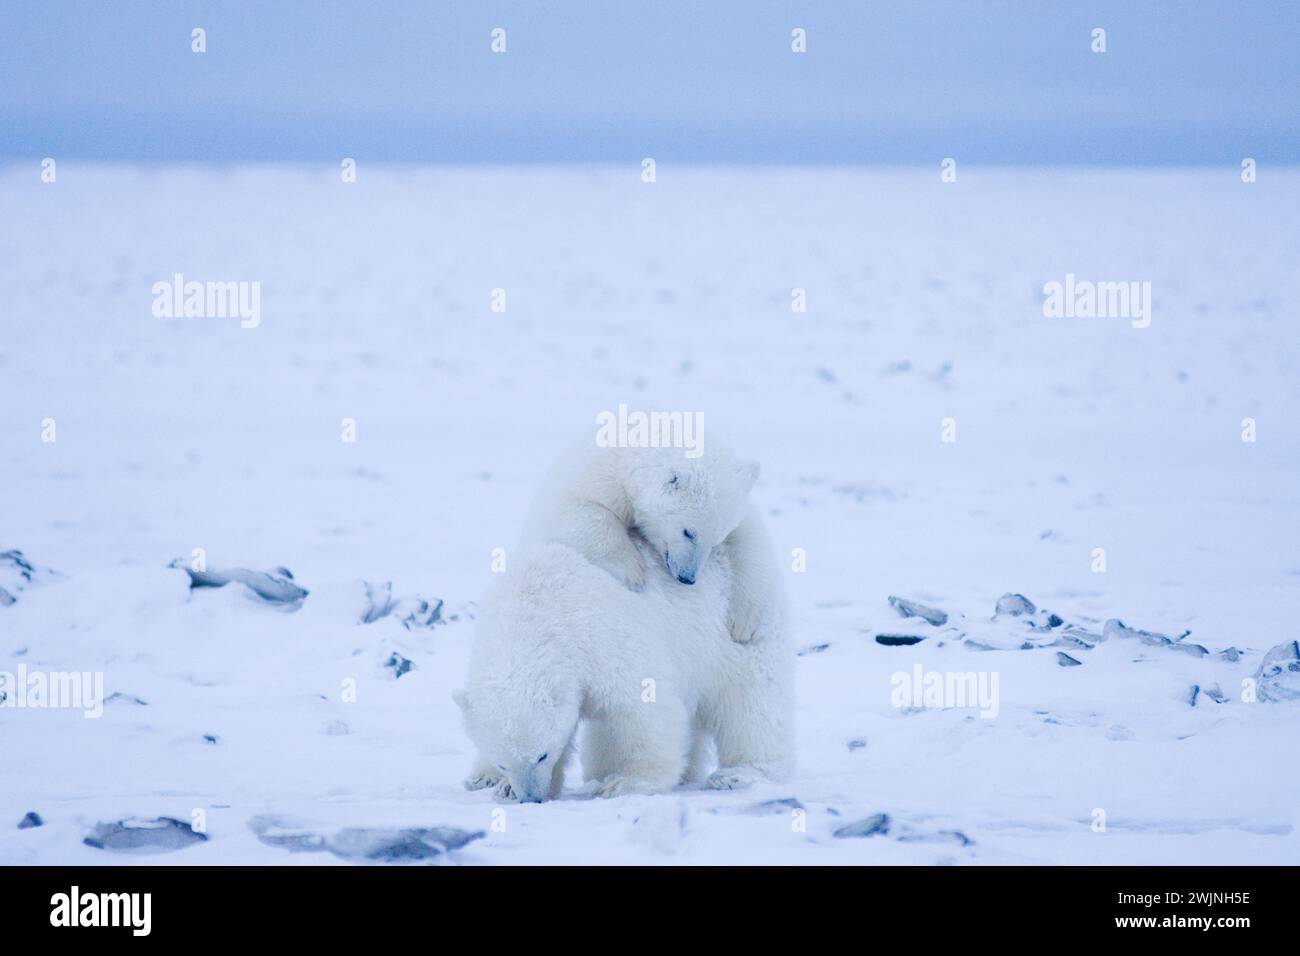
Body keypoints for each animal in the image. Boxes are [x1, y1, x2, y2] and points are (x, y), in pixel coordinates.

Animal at [454, 535, 794, 802]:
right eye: (503, 762)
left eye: (543, 754)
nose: (530, 797)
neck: (535, 609)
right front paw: (490, 782)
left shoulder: (602, 634)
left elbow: (643, 706)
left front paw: (627, 782)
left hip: (735, 634)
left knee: (750, 707)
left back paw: (739, 773)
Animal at [519, 436, 786, 646]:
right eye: (688, 532)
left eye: (717, 538)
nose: (687, 577)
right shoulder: (596, 477)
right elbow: (573, 509)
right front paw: (633, 573)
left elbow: (752, 539)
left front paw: (745, 624)